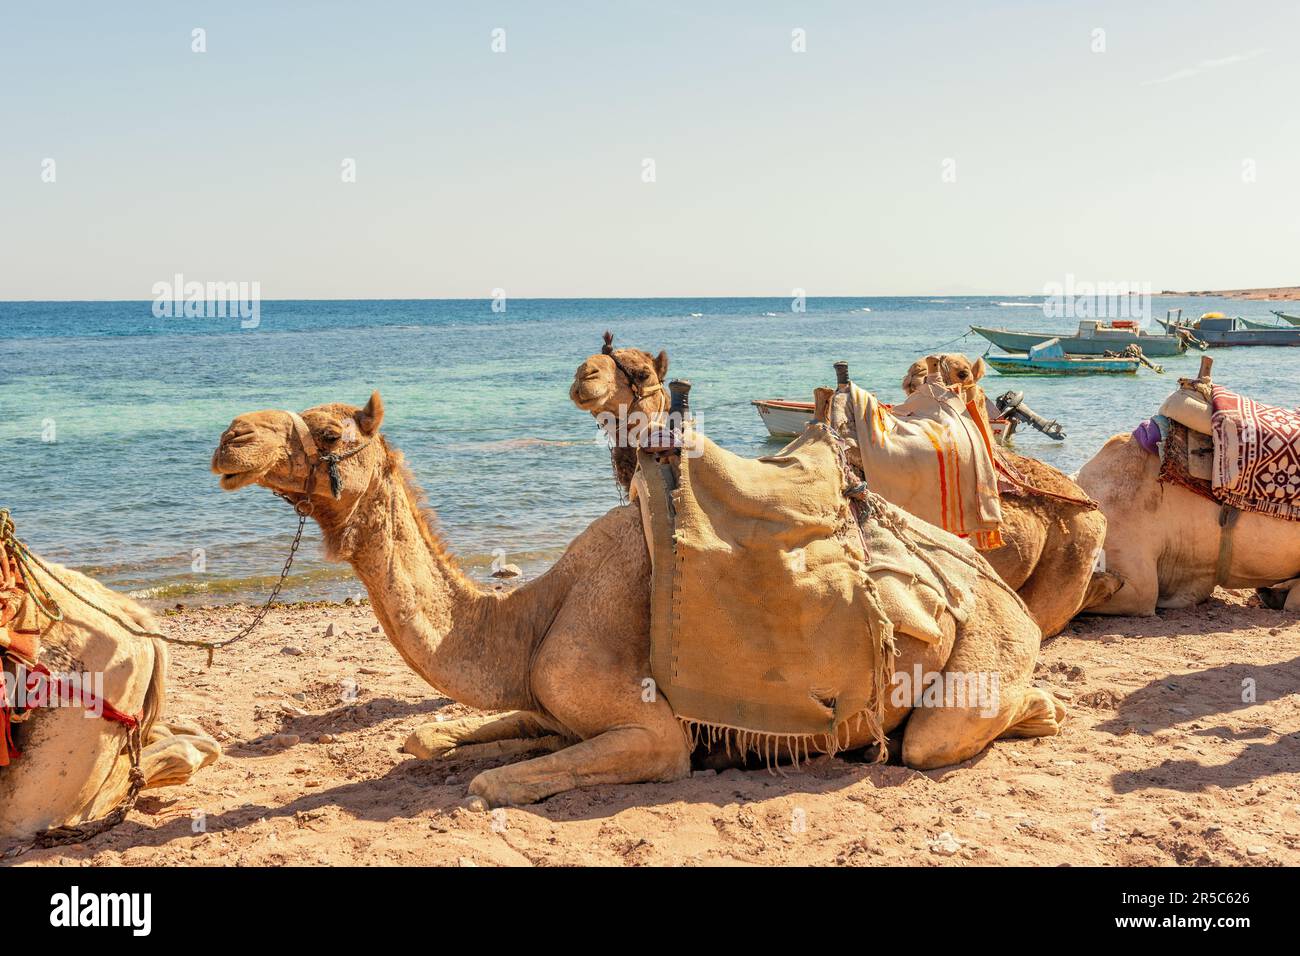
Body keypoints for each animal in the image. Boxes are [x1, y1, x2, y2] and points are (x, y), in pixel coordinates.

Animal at [210, 392, 1062, 808]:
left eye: (328, 435)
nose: (231, 437)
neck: (526, 620)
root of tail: (991, 580)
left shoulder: (654, 735)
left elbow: (492, 783)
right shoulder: (547, 700)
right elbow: (441, 739)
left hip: (985, 647)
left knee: (939, 737)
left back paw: (1035, 711)